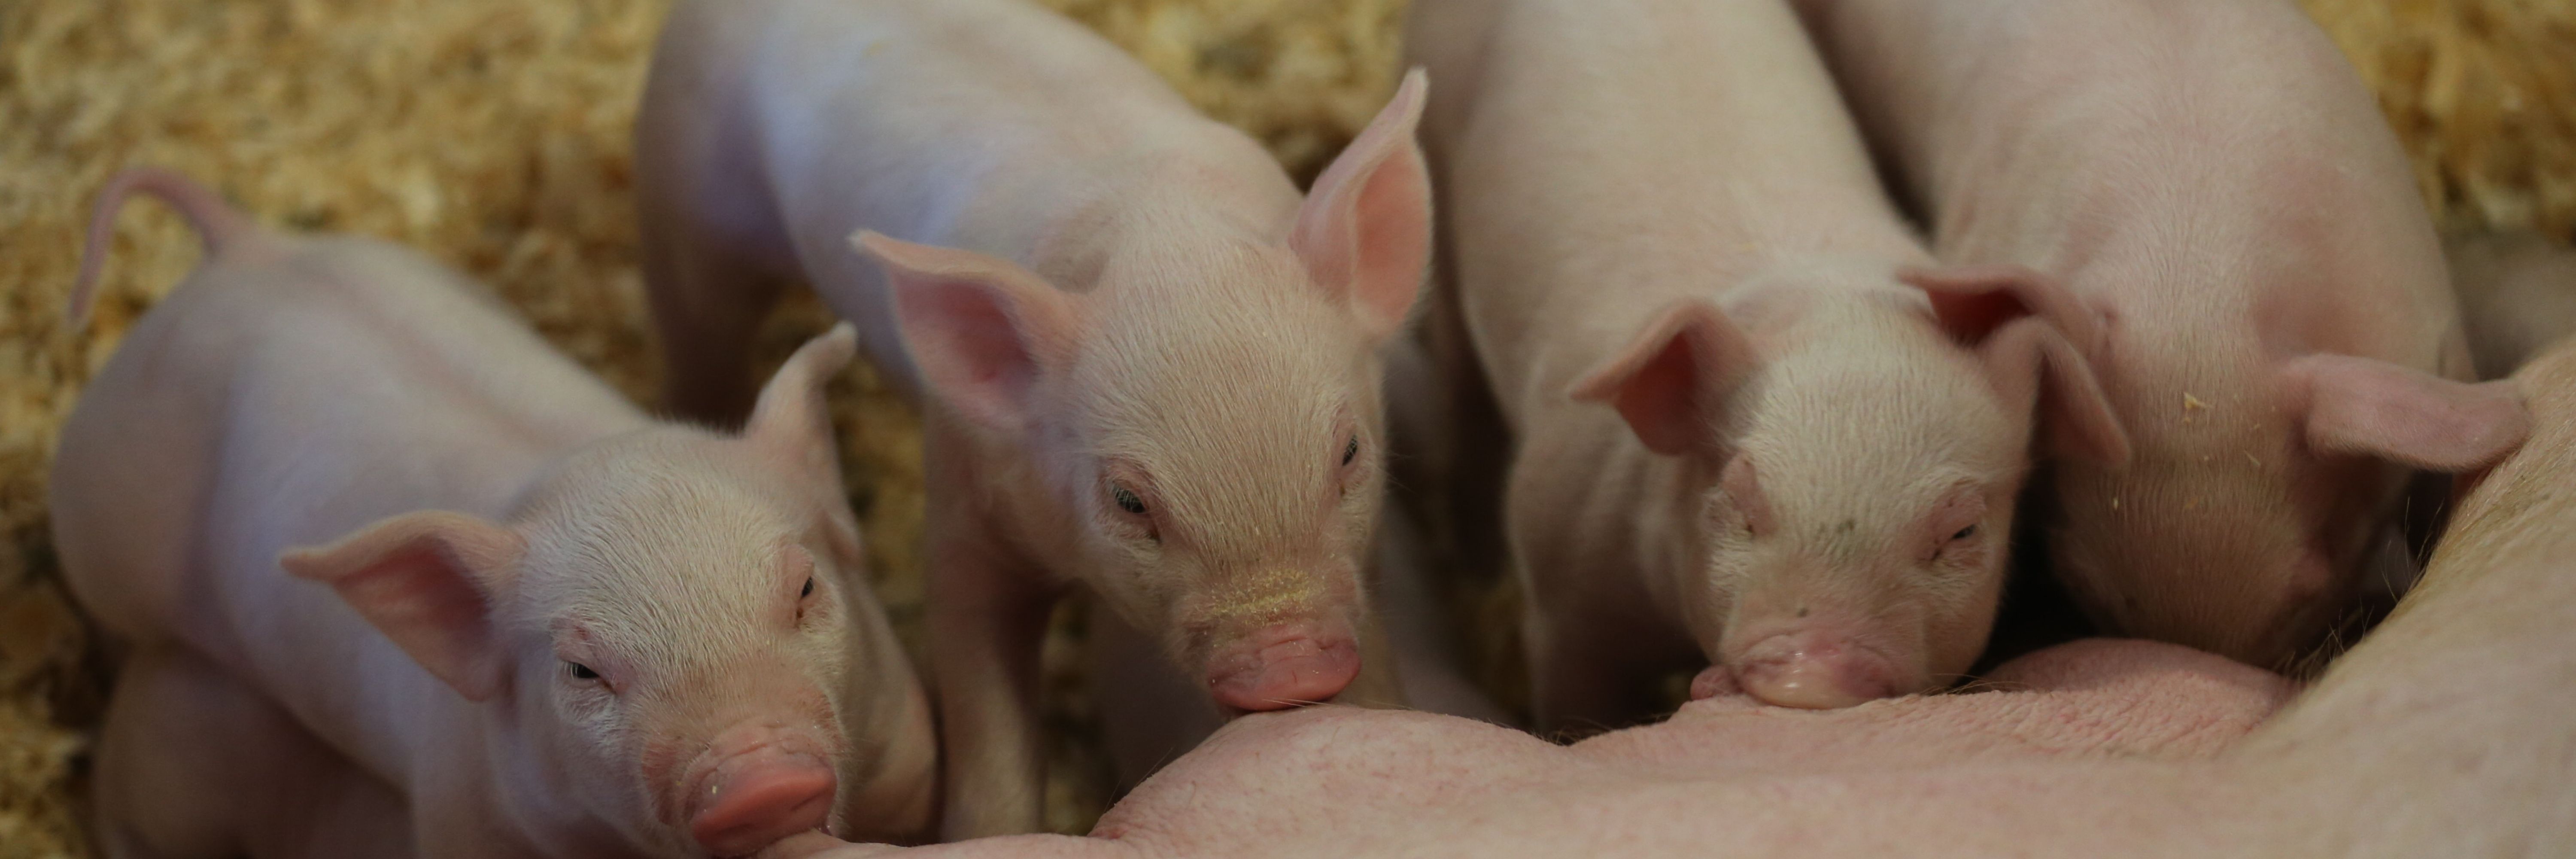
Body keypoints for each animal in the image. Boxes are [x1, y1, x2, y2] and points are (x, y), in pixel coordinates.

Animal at [52, 167, 935, 857]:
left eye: (806, 591)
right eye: (582, 671)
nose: (761, 779)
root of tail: (243, 248)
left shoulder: (903, 739)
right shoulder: (466, 811)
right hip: (101, 524)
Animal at [633, 0, 1432, 835]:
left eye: (1349, 453)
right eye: (1128, 500)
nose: (1291, 663)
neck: (1157, 229)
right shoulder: (964, 494)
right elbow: (980, 688)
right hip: (678, 191)